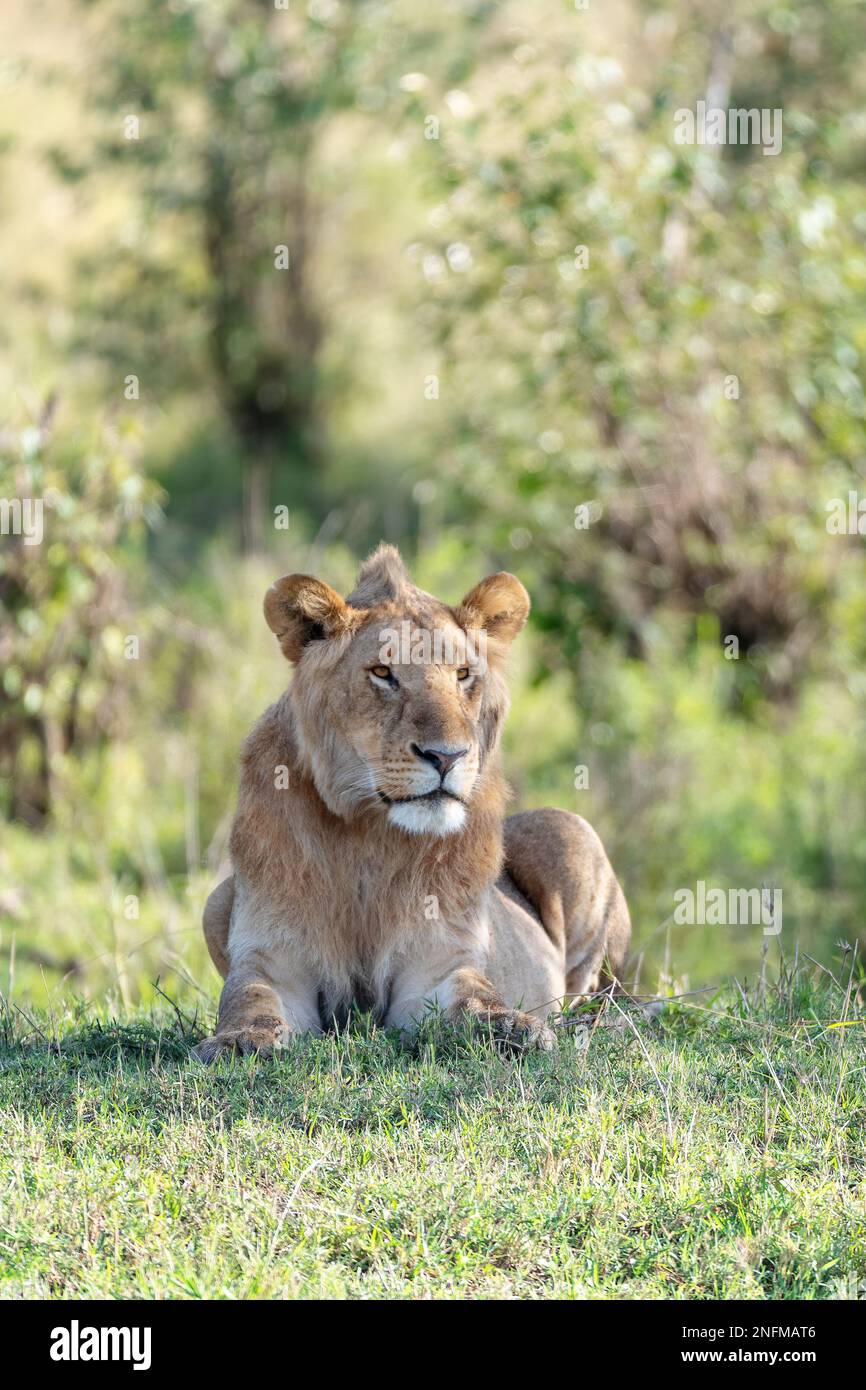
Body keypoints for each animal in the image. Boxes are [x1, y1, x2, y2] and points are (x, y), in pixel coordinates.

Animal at [192, 545, 630, 1061]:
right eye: (384, 674)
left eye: (463, 675)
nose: (447, 756)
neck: (369, 832)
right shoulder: (272, 959)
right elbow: (250, 999)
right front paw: (239, 1040)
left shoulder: (438, 964)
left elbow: (475, 996)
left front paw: (511, 1027)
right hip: (217, 900)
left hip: (571, 831)